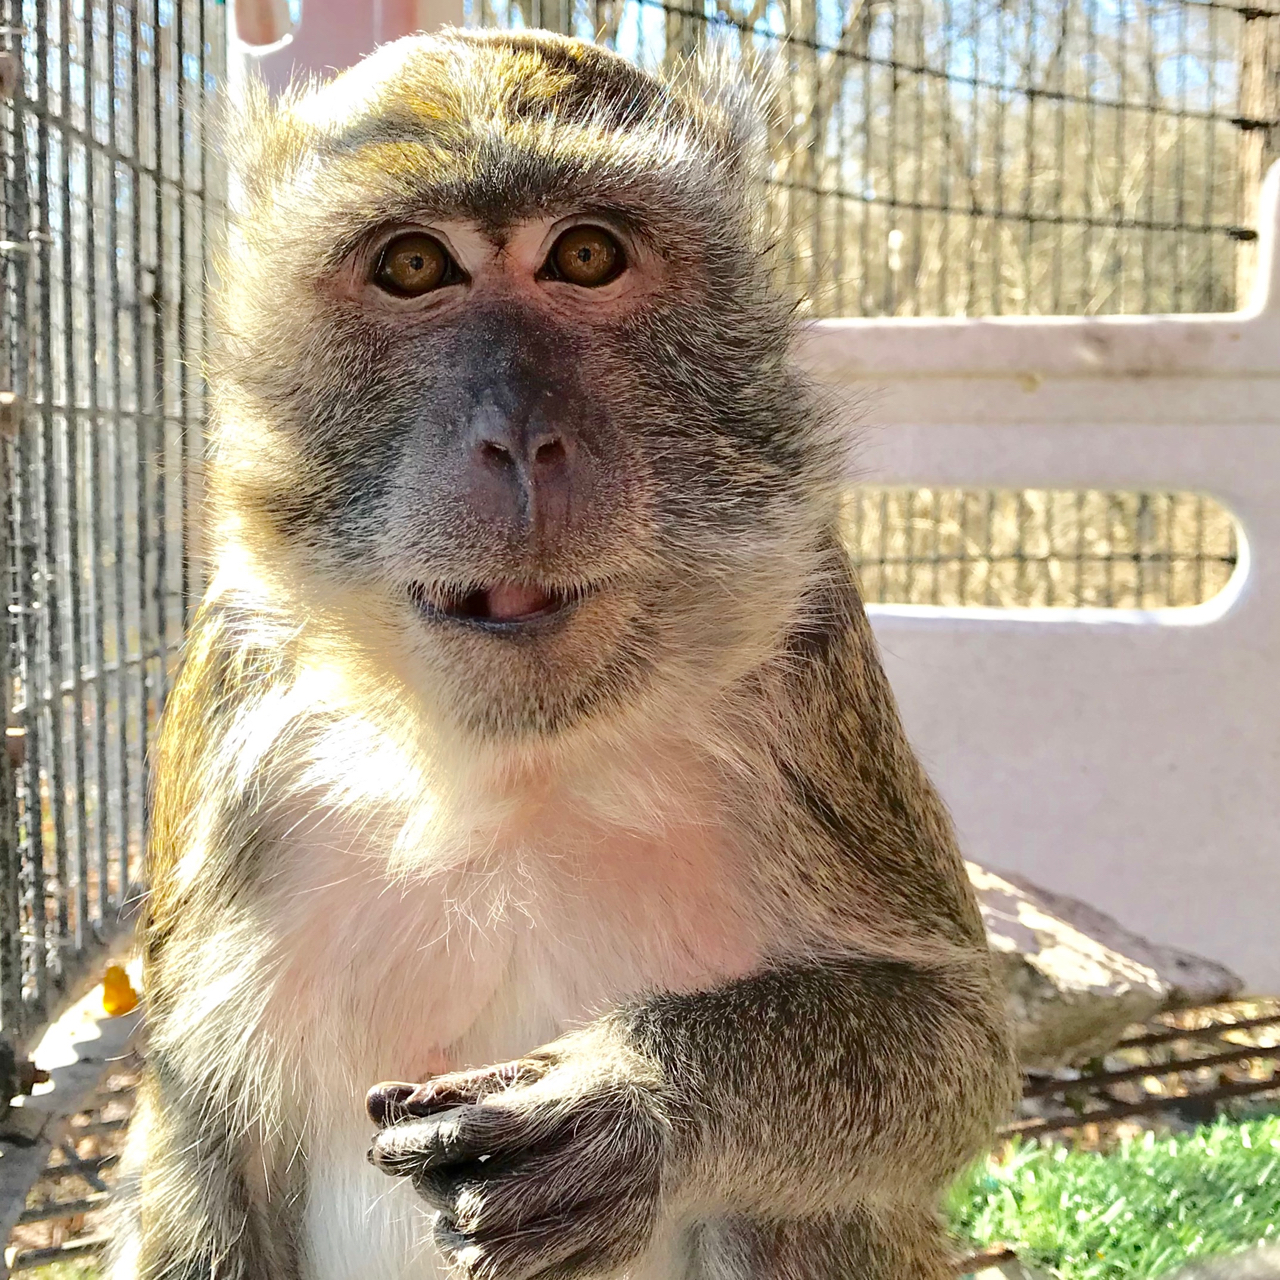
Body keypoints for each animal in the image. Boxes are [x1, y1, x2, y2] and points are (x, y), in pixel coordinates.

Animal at [109, 28, 1017, 1280]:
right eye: (412, 265)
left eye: (586, 254)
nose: (521, 437)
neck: (510, 761)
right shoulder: (235, 709)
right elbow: (201, 1145)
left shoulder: (808, 669)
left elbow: (955, 1033)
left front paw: (640, 1096)